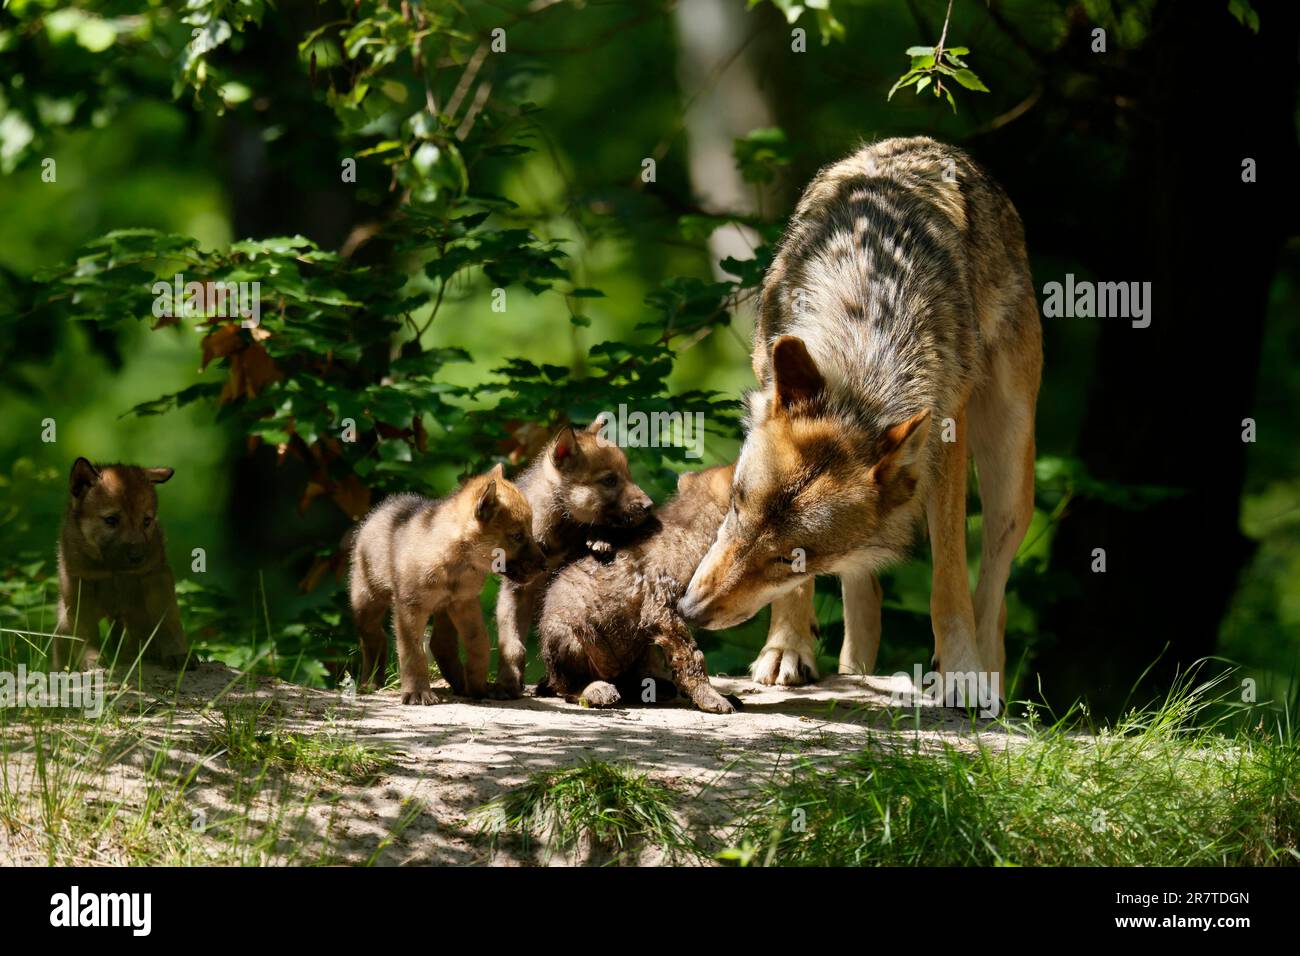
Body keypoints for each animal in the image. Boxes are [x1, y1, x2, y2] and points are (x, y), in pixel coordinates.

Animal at [678, 137, 1042, 702]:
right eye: (737, 507)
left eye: (791, 556)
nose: (689, 611)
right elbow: (805, 597)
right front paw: (786, 650)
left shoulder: (945, 447)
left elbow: (949, 582)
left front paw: (962, 674)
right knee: (864, 592)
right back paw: (855, 672)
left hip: (1010, 478)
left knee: (992, 597)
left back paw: (984, 677)